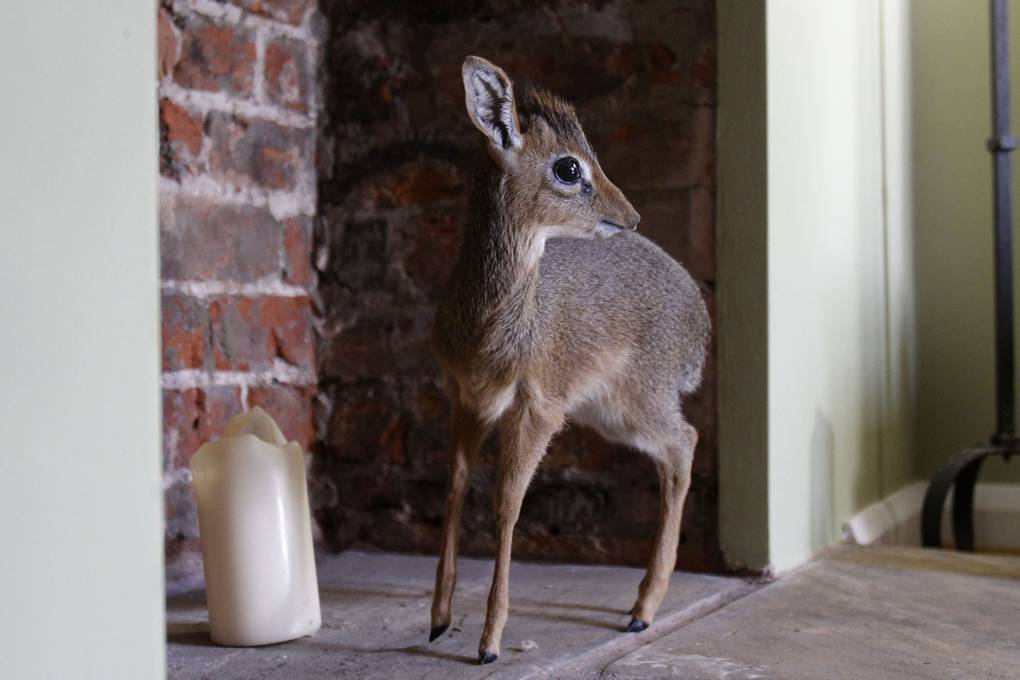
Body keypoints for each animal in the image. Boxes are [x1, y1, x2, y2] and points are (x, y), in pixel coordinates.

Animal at [428, 56, 709, 664]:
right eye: (567, 166)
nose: (630, 214)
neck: (491, 328)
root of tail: (700, 323)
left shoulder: (539, 407)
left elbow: (507, 503)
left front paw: (489, 642)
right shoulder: (466, 400)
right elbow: (456, 488)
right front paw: (437, 620)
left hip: (634, 403)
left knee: (685, 443)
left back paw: (642, 610)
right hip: (607, 412)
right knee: (676, 451)